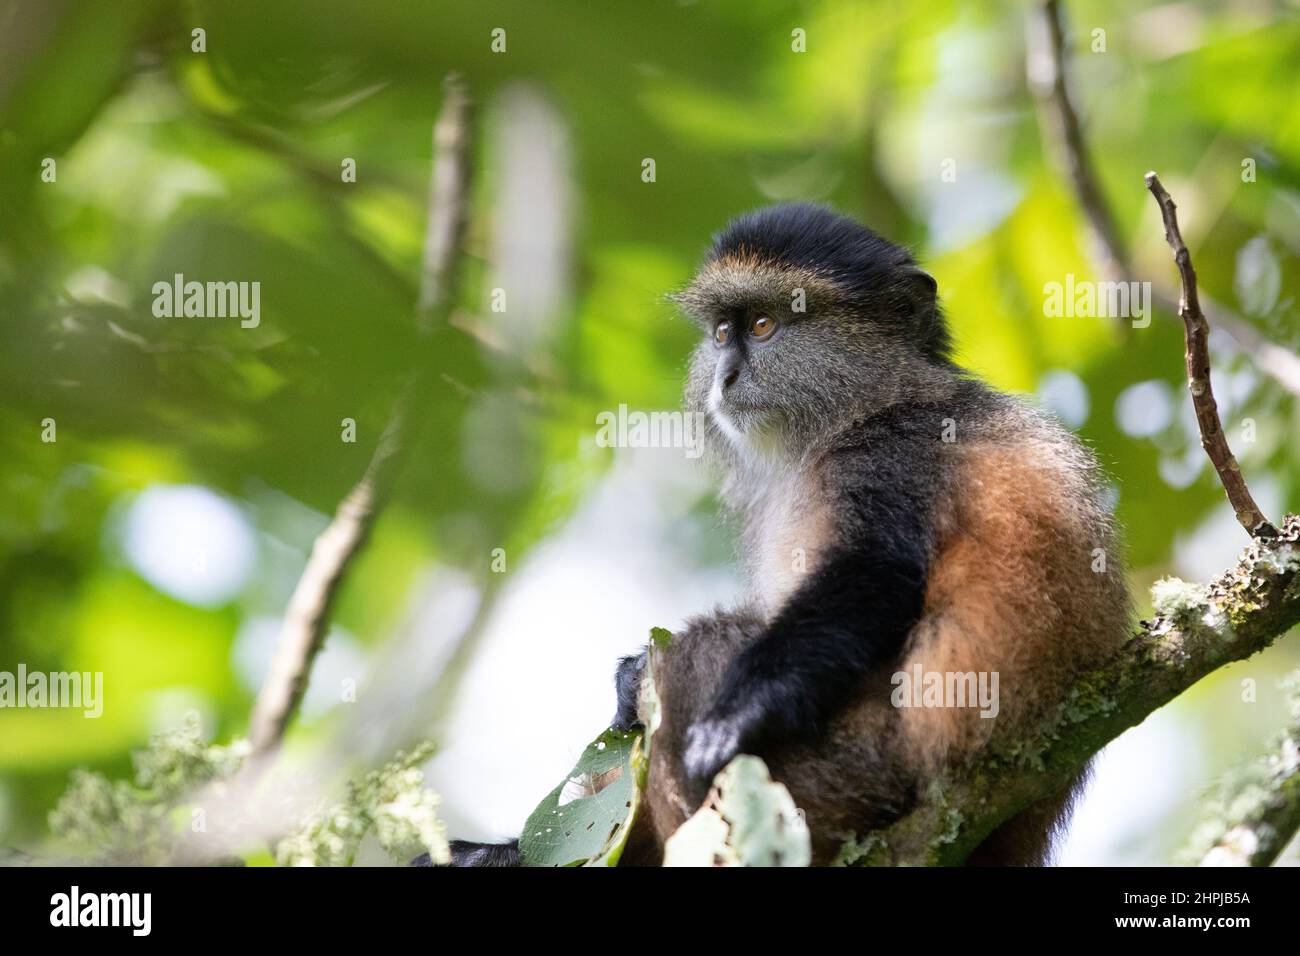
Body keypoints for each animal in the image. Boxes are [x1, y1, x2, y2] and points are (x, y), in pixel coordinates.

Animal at [432, 202, 1131, 868]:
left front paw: (737, 714)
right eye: (723, 332)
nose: (725, 378)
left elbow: (871, 573)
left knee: (692, 661)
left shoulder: (892, 451)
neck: (864, 405)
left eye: (765, 326)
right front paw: (628, 679)